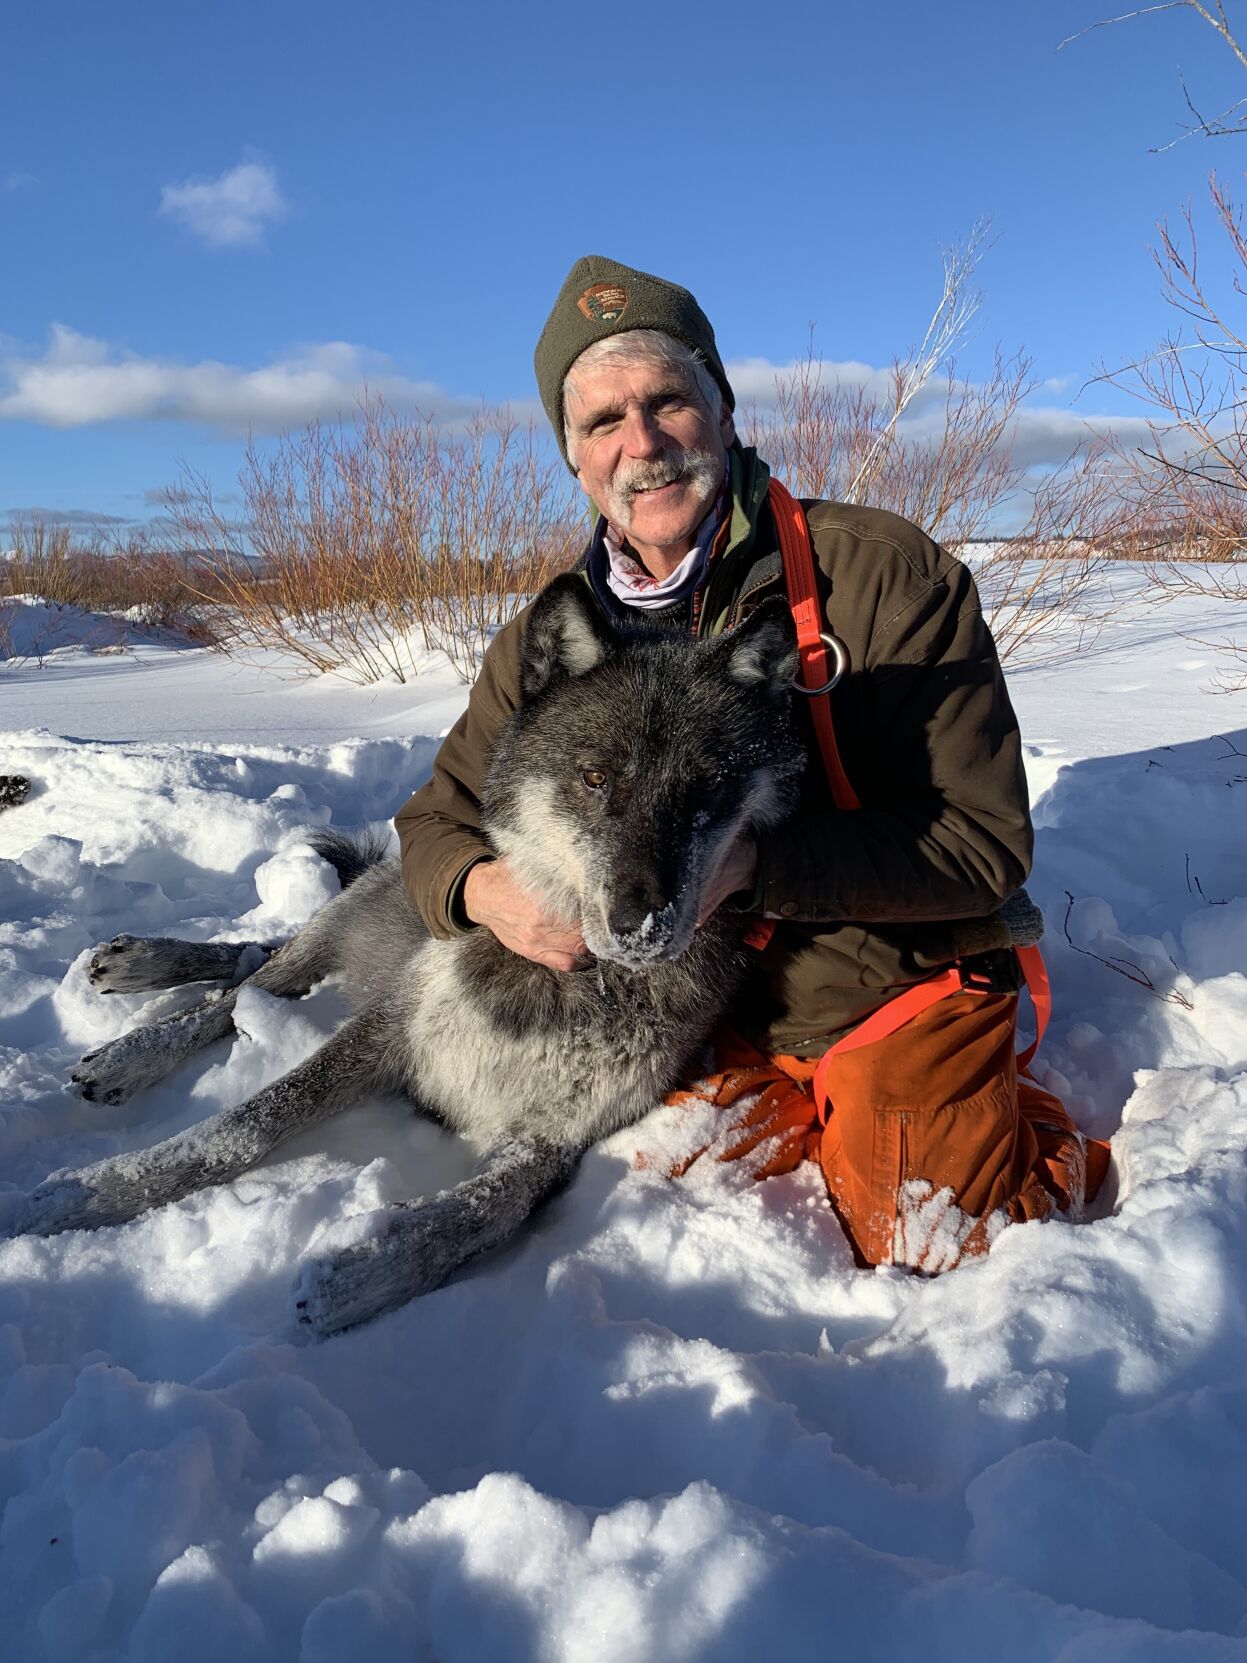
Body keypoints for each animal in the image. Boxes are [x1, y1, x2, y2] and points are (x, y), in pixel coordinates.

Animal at [12, 577, 805, 1334]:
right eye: (595, 778)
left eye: (708, 790)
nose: (644, 925)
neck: (566, 982)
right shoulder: (385, 1031)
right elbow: (239, 1128)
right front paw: (89, 1190)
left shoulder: (553, 1140)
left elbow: (481, 1215)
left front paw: (358, 1275)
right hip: (340, 925)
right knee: (242, 982)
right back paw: (129, 1033)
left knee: (246, 966)